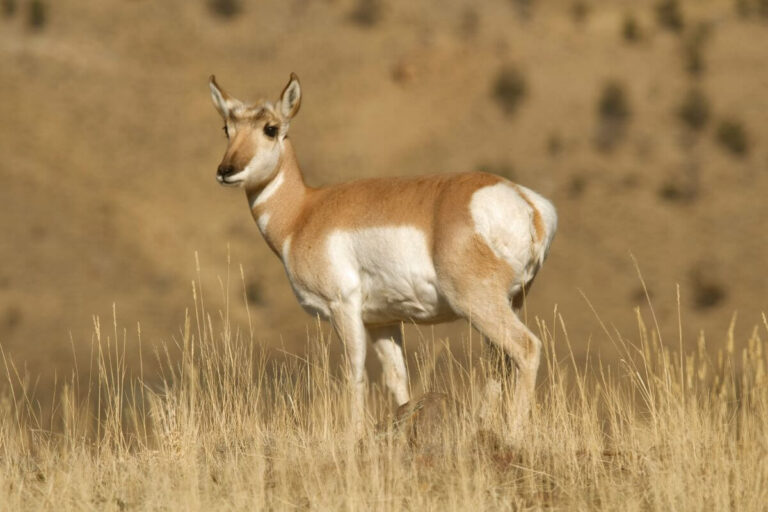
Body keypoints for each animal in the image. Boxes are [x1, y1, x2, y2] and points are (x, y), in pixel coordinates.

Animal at [209, 73, 557, 433]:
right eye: (226, 128)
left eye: (271, 128)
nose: (226, 170)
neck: (302, 212)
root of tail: (527, 203)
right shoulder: (383, 322)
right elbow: (396, 378)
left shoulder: (342, 307)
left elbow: (355, 373)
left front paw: (353, 433)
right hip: (510, 302)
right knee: (499, 362)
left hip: (477, 302)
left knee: (525, 348)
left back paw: (514, 430)